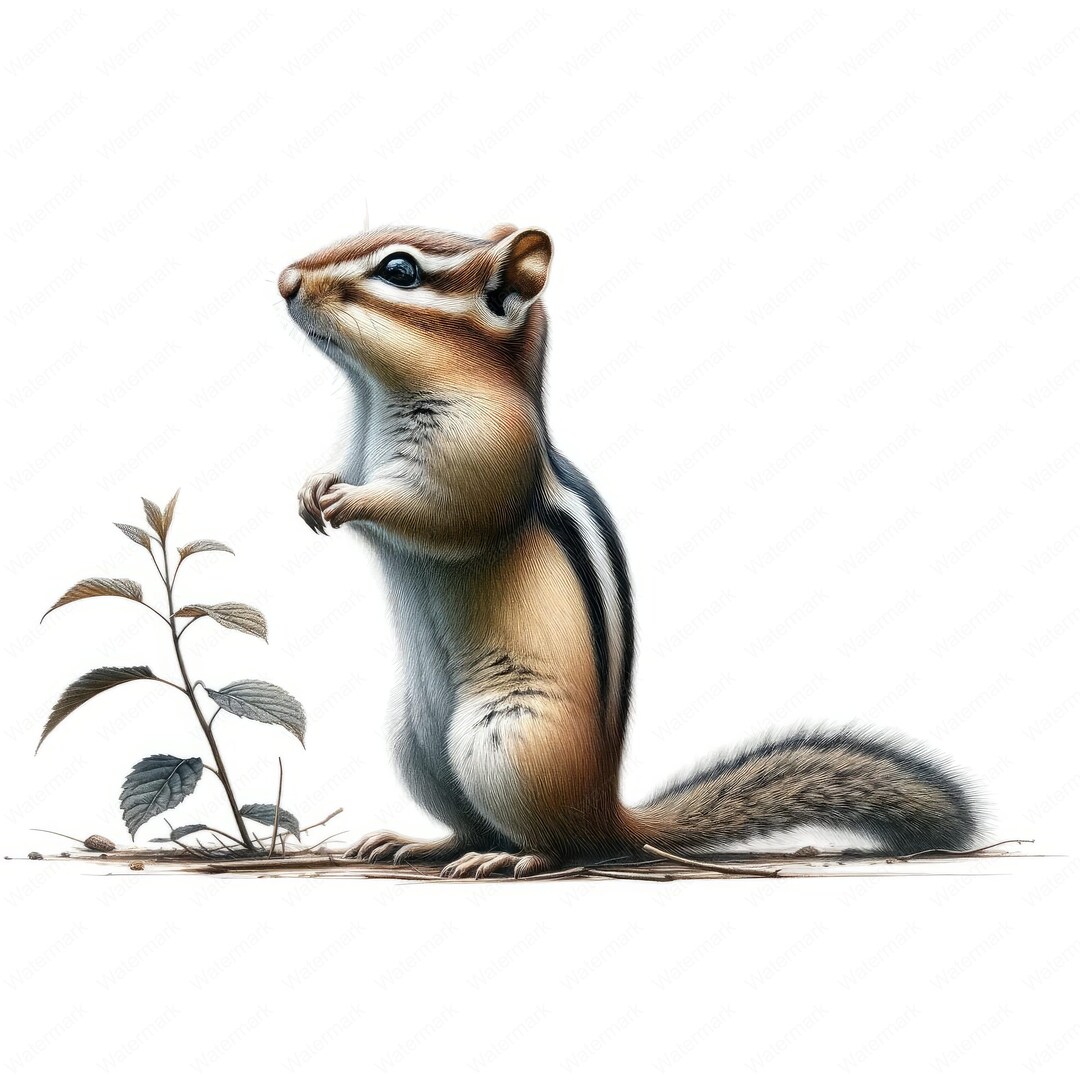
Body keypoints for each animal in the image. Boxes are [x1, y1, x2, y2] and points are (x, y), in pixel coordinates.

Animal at [278, 223, 978, 878]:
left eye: (400, 270)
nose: (286, 280)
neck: (378, 397)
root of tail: (608, 811)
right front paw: (314, 487)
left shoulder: (485, 450)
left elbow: (442, 514)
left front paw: (352, 500)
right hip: (420, 745)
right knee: (471, 823)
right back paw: (419, 843)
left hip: (508, 740)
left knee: (554, 844)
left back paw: (510, 859)